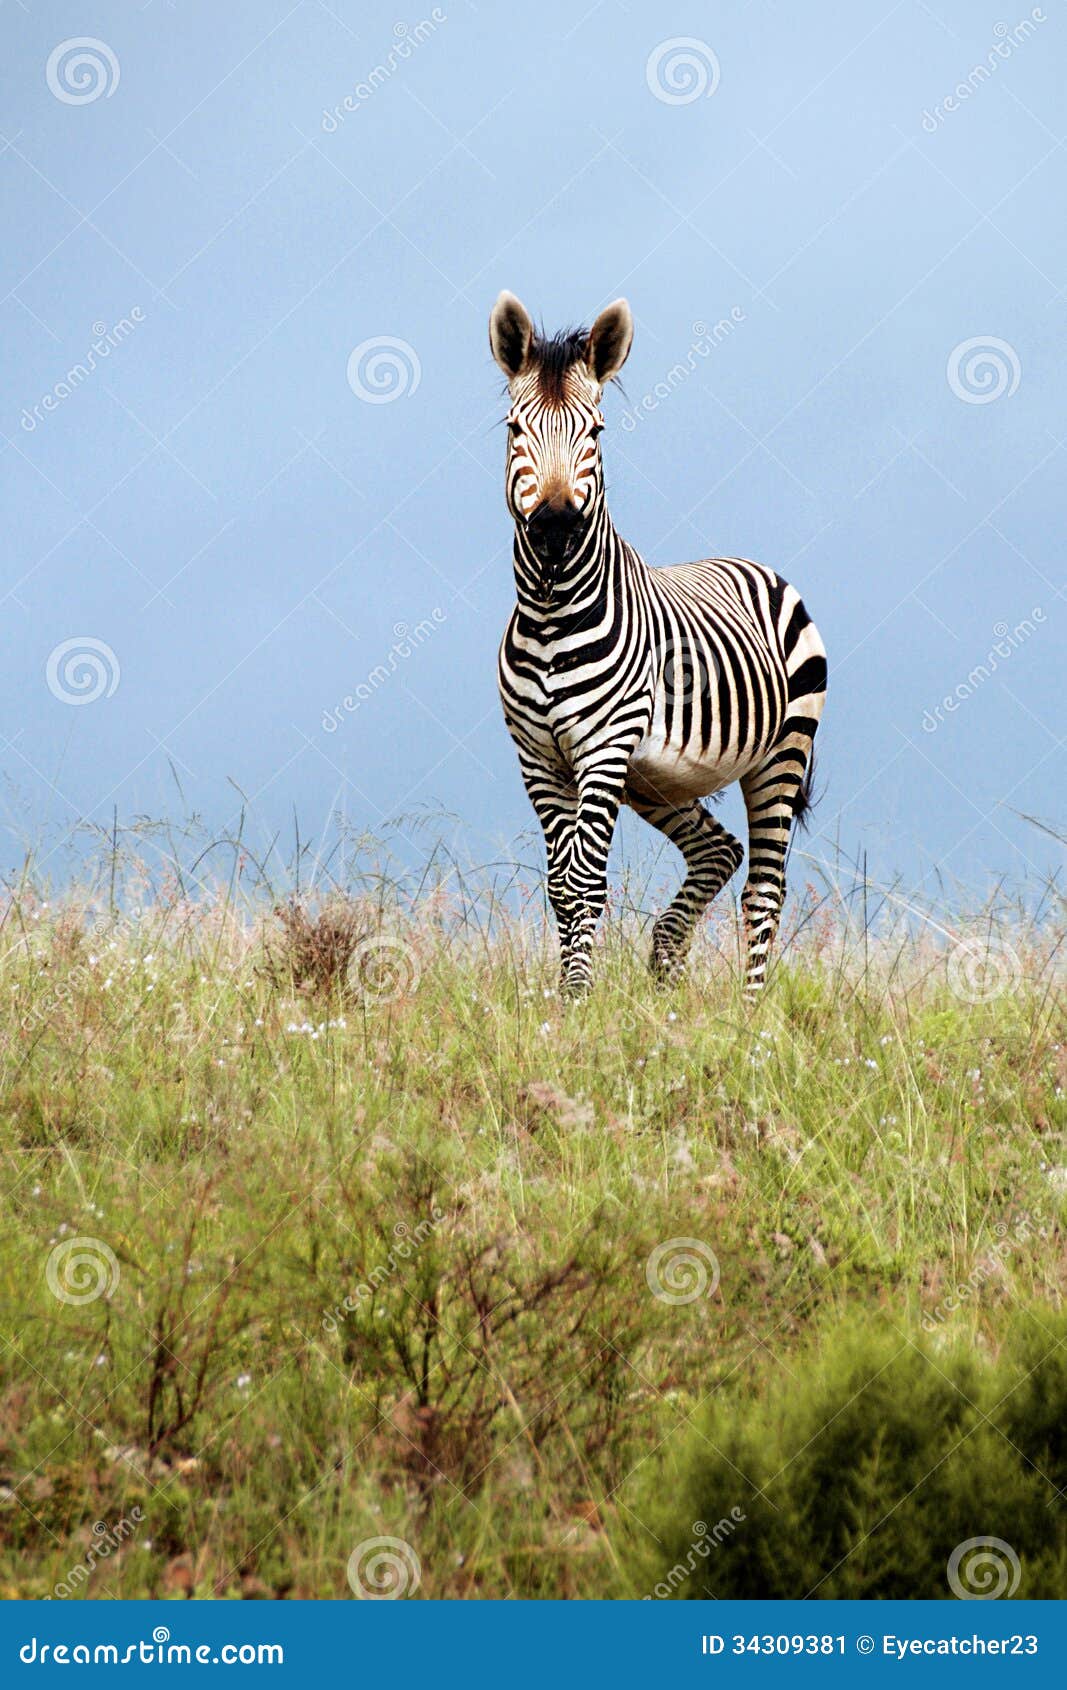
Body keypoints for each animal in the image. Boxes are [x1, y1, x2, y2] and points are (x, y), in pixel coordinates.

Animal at [491, 291, 827, 999]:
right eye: (514, 429)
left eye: (595, 433)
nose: (555, 528)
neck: (550, 615)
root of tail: (751, 561)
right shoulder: (538, 758)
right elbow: (560, 886)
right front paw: (565, 997)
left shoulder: (602, 746)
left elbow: (584, 880)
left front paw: (577, 1002)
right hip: (657, 779)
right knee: (720, 851)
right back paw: (668, 960)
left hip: (781, 752)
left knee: (764, 887)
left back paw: (750, 1011)